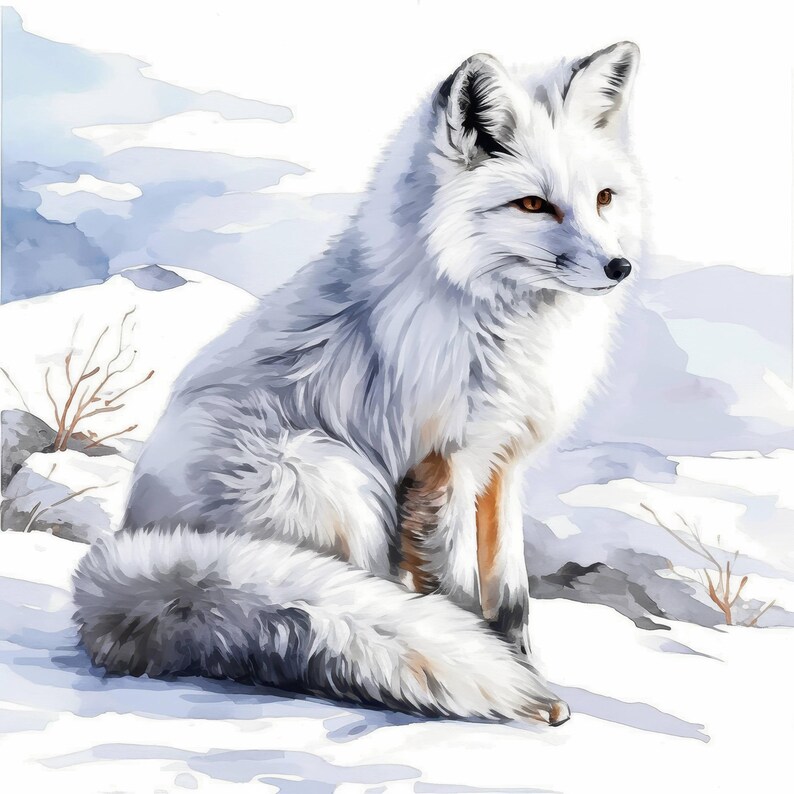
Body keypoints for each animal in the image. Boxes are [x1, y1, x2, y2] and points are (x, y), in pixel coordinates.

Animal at [73, 42, 643, 726]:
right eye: (534, 205)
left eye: (604, 198)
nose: (620, 267)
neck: (507, 327)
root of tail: (130, 561)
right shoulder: (442, 465)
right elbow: (458, 595)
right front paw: (502, 672)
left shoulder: (502, 464)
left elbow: (510, 597)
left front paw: (527, 672)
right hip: (331, 477)